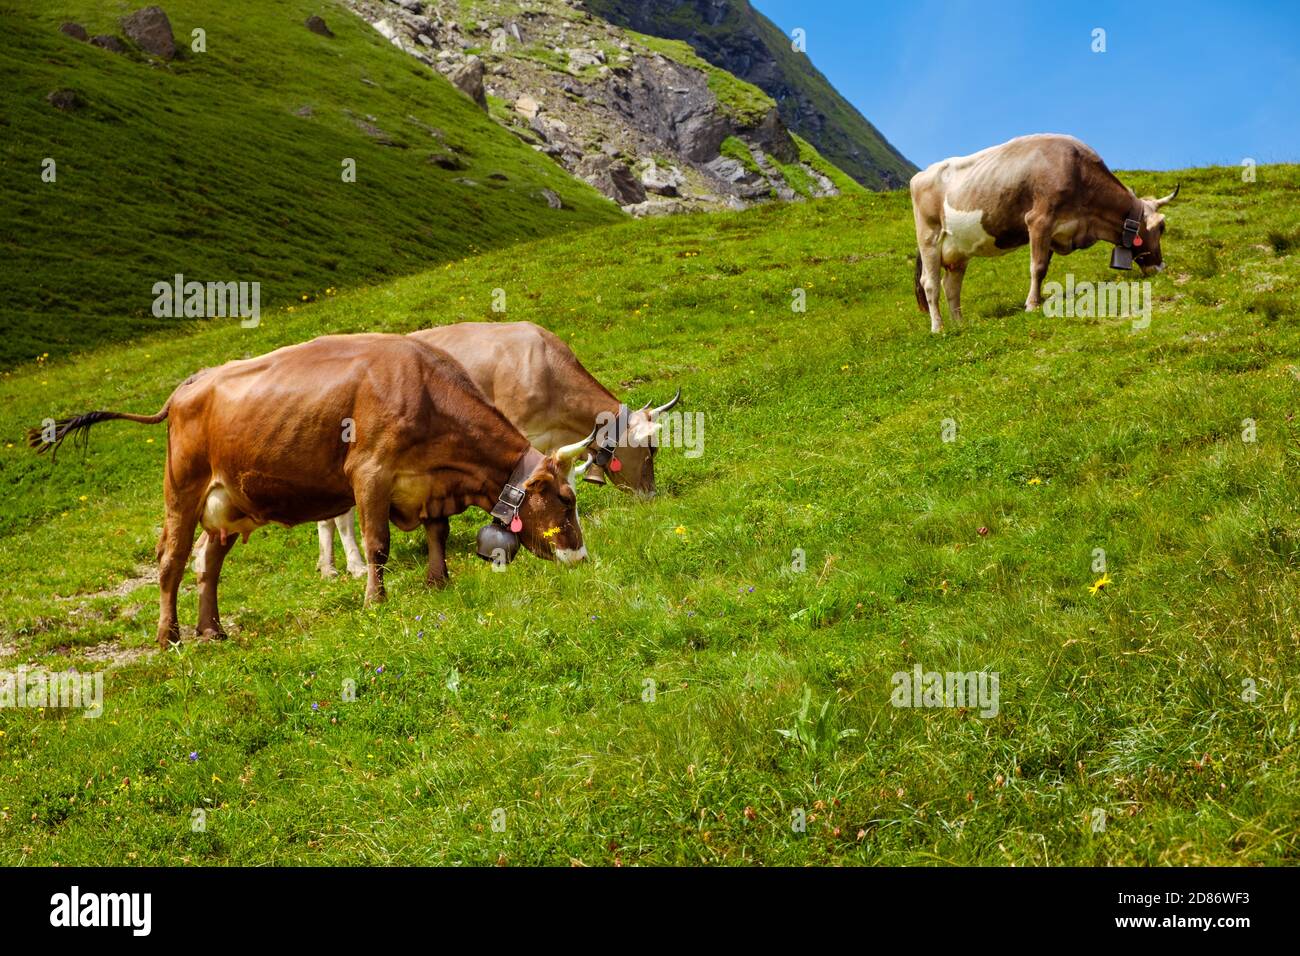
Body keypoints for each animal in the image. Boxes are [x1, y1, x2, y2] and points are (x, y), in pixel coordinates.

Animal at [29, 334, 592, 648]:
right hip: (182, 490)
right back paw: (169, 637)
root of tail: (188, 386)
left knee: (208, 564)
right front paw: (375, 600)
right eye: (567, 500)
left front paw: (437, 581)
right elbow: (378, 544)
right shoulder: (371, 472)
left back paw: (213, 630)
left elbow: (436, 531)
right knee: (171, 560)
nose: (582, 558)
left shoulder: (429, 482)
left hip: (227, 503)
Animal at [315, 321, 681, 579]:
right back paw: (349, 565)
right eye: (652, 449)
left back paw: (328, 565)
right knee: (338, 517)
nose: (651, 496)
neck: (545, 368)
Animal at [910, 133, 1180, 332]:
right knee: (930, 284)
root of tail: (920, 175)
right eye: (1161, 226)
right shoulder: (1039, 220)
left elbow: (1044, 268)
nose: (1161, 267)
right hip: (929, 237)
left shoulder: (1055, 232)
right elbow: (1037, 267)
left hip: (958, 251)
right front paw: (1031, 304)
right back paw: (939, 328)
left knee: (951, 286)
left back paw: (959, 325)